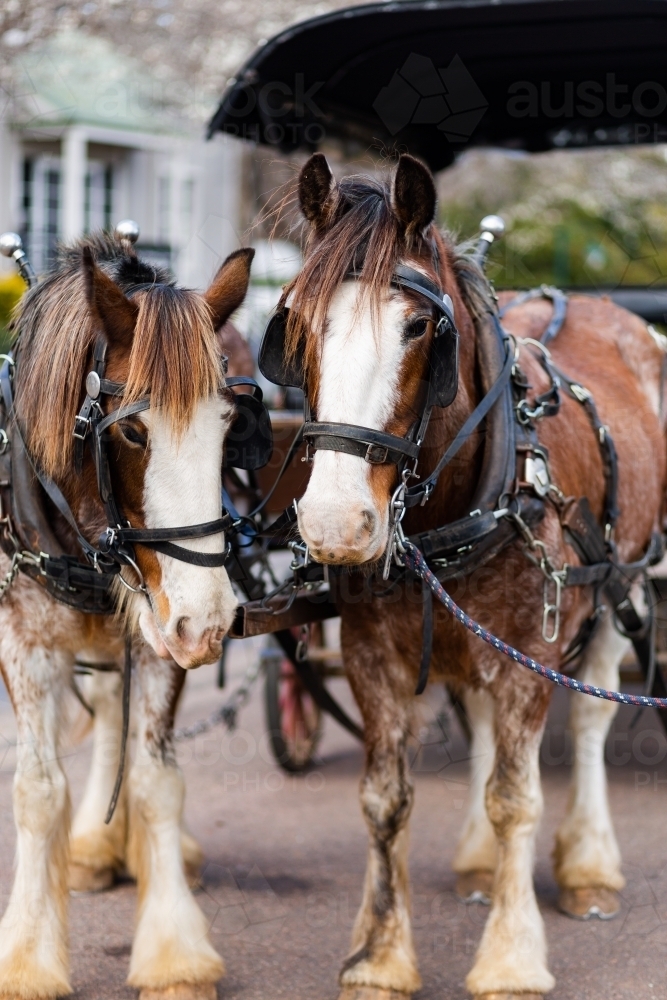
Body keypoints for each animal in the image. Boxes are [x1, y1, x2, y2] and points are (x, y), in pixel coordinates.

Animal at [0, 233, 253, 1000]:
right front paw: (28, 956)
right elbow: (37, 790)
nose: (209, 619)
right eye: (134, 431)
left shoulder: (159, 638)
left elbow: (154, 781)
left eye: (229, 424)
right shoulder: (23, 643)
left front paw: (174, 953)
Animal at [285, 152, 666, 998]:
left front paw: (510, 958)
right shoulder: (372, 655)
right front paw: (379, 955)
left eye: (418, 326)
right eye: (295, 322)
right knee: (481, 719)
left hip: (616, 585)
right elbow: (384, 800)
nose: (334, 523)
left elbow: (515, 799)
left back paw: (588, 865)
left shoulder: (531, 651)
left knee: (589, 718)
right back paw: (479, 864)